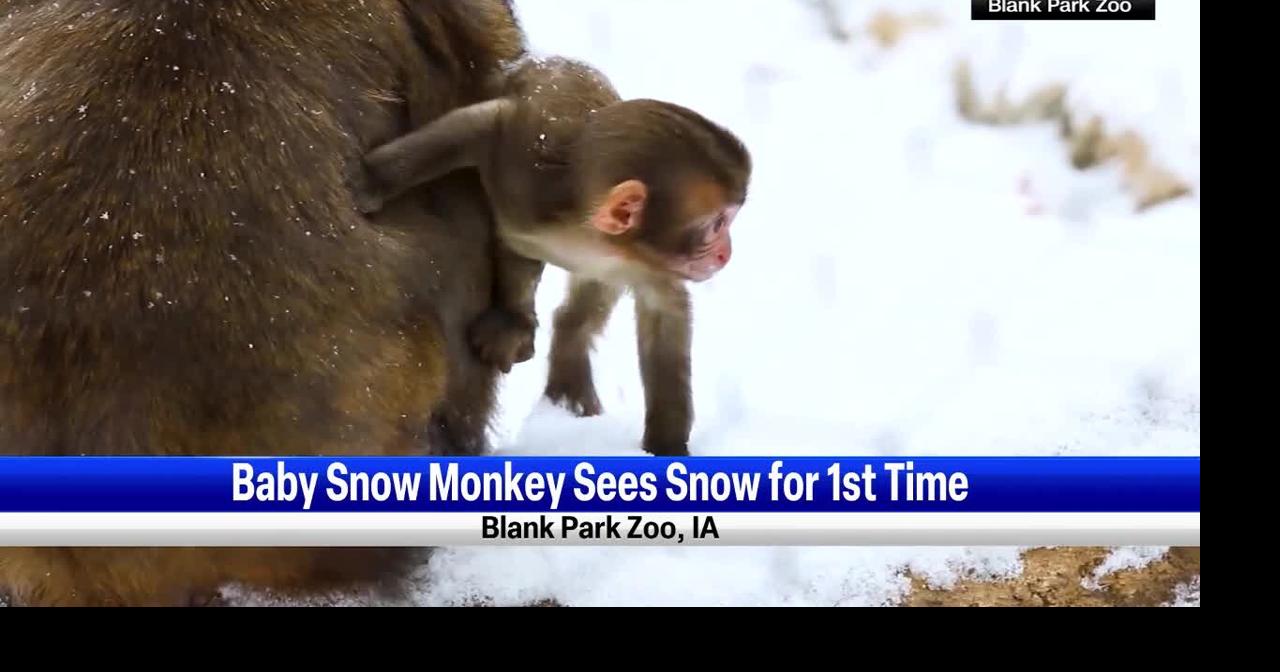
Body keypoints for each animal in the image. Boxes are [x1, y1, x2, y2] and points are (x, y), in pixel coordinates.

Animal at [352, 56, 752, 457]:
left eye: (728, 220)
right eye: (717, 224)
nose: (726, 254)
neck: (592, 234)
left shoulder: (648, 263)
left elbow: (666, 313)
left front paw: (667, 443)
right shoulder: (523, 171)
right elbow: (485, 123)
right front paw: (377, 178)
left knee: (579, 312)